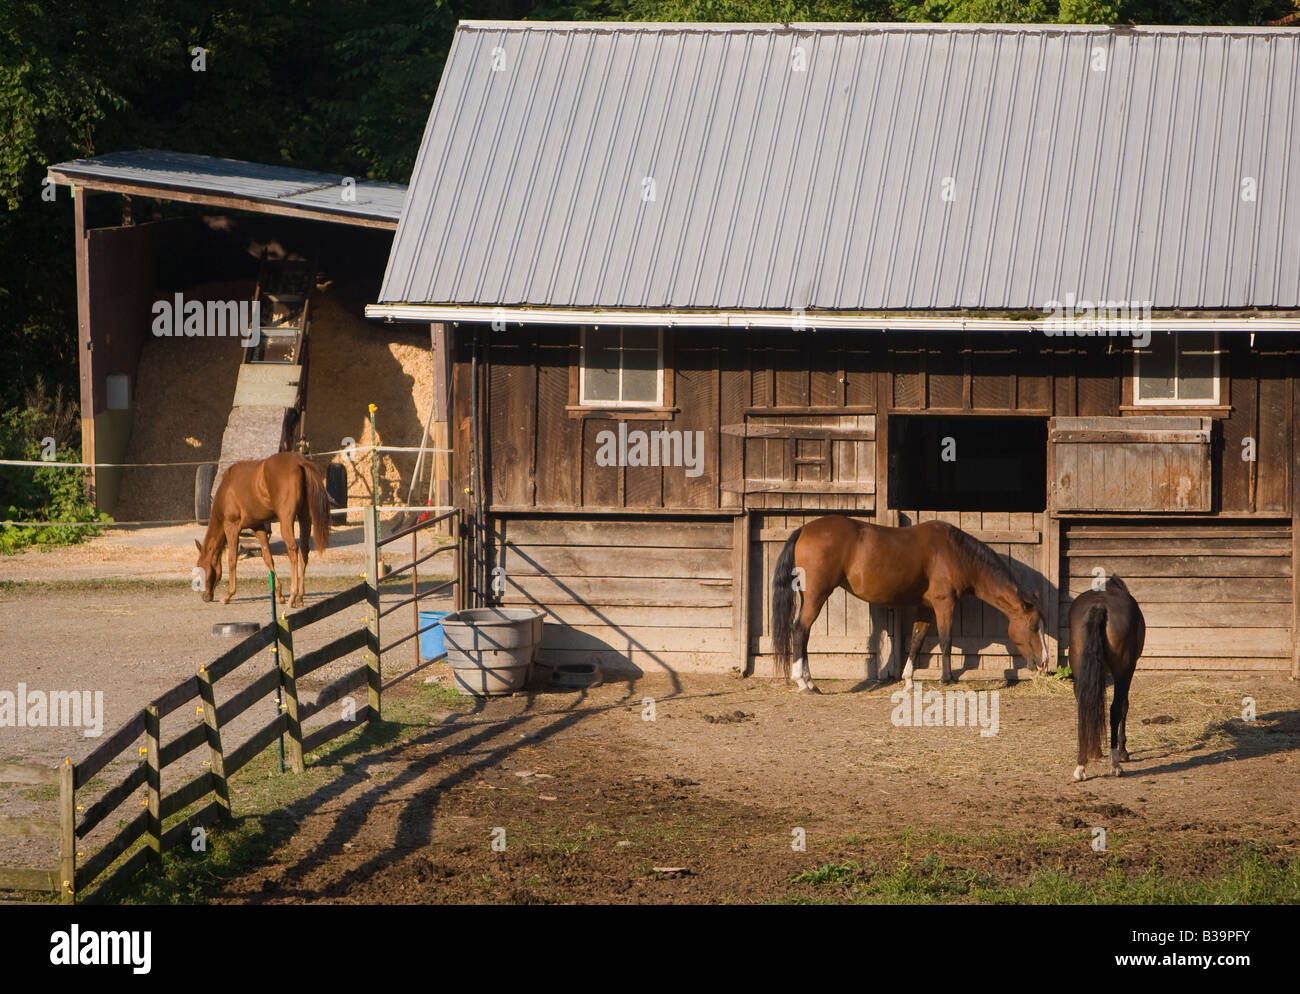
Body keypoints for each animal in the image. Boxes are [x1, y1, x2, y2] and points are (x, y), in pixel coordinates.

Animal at [194, 451, 331, 608]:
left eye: (200, 567)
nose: (205, 597)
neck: (227, 489)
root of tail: (299, 461)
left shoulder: (231, 526)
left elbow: (232, 559)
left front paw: (228, 595)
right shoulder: (257, 526)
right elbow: (267, 558)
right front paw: (278, 594)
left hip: (286, 520)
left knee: (293, 550)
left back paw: (293, 596)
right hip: (304, 518)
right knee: (304, 551)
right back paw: (300, 597)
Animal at [771, 516, 1047, 693]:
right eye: (1034, 627)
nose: (1044, 663)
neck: (955, 552)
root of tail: (804, 530)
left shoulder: (925, 608)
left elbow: (916, 641)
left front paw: (909, 681)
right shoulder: (944, 604)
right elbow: (945, 641)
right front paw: (947, 679)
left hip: (810, 597)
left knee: (804, 634)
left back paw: (810, 681)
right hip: (817, 596)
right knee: (800, 631)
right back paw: (803, 683)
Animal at [1068, 574, 1145, 781]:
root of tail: (1100, 606)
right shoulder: (1127, 671)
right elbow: (1124, 706)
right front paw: (1124, 751)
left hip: (1080, 669)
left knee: (1084, 706)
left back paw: (1081, 764)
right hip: (1123, 671)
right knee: (1116, 709)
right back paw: (1115, 764)